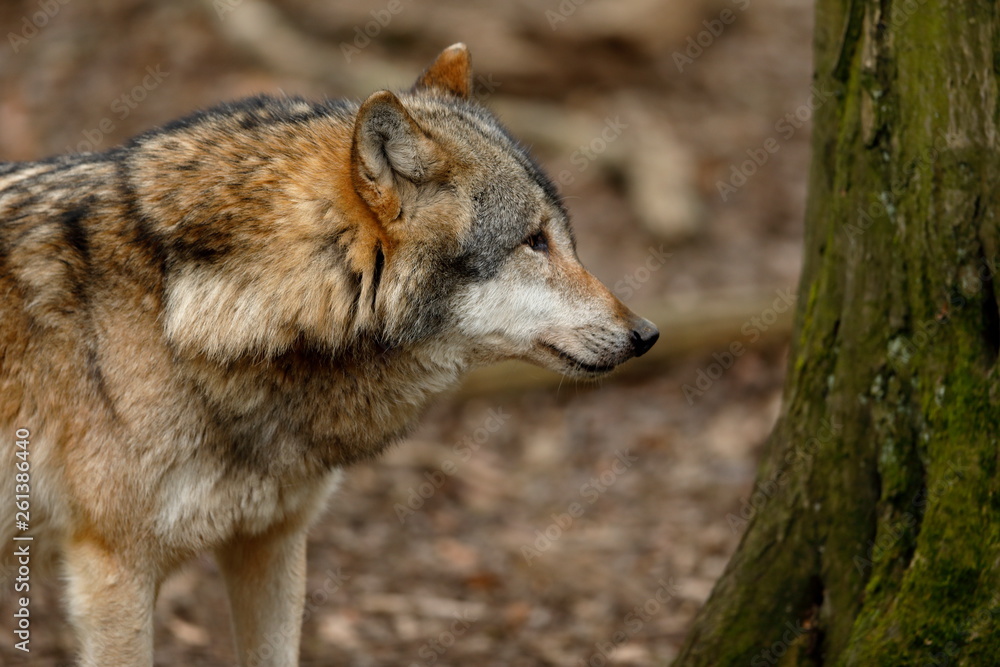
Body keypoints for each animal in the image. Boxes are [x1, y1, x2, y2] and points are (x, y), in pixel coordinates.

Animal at [0, 43, 658, 665]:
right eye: (534, 242)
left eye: (563, 239)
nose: (647, 334)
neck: (182, 307)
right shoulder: (114, 570)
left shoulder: (272, 541)